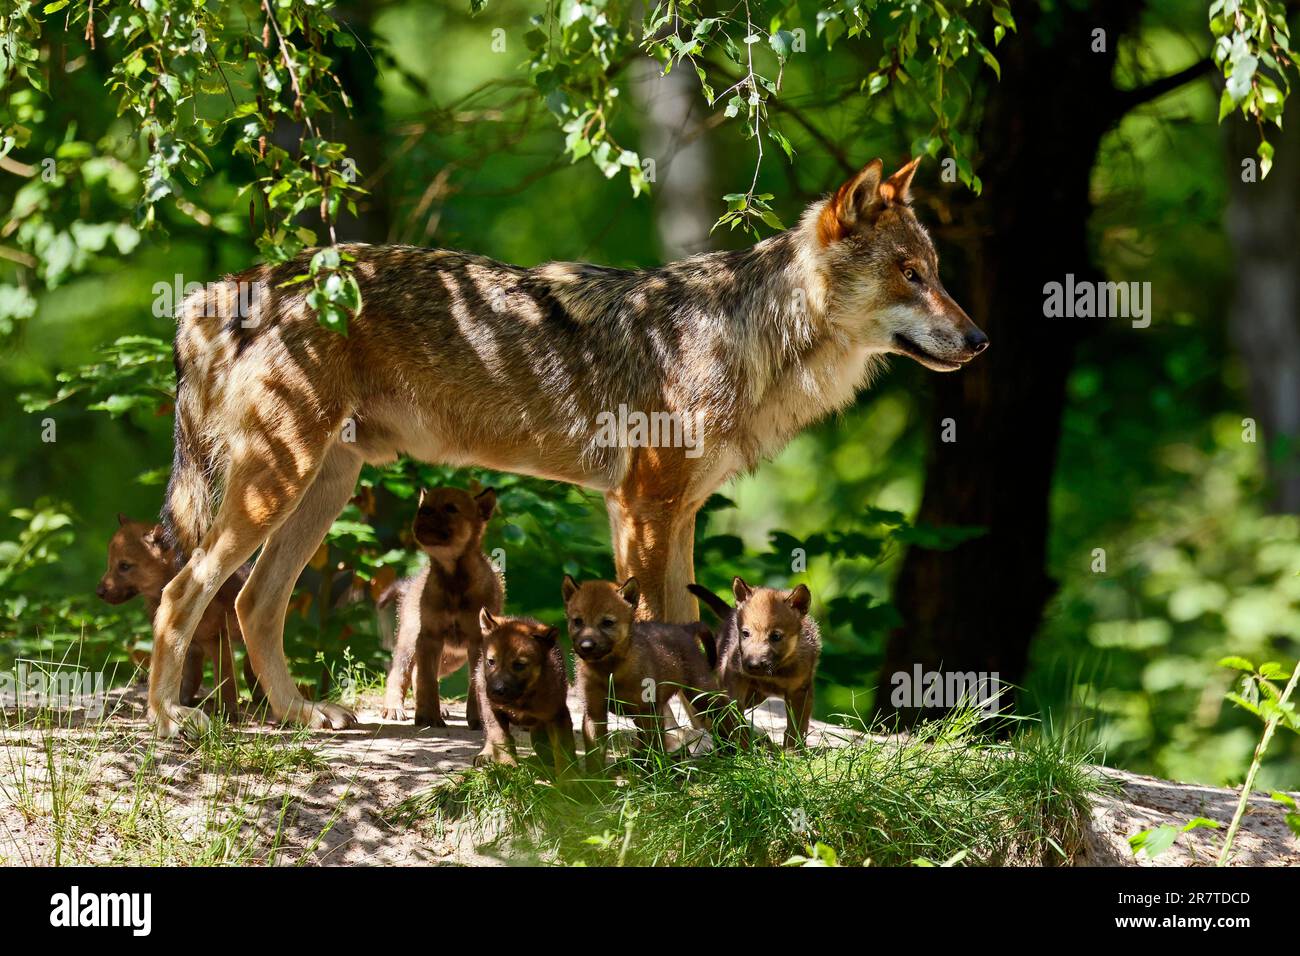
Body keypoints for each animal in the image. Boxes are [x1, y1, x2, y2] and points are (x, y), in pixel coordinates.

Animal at [149, 156, 986, 736]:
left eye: (938, 274)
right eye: (910, 275)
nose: (979, 339)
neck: (748, 340)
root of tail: (229, 288)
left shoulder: (678, 515)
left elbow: (689, 631)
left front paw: (716, 734)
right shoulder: (641, 507)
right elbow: (655, 633)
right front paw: (672, 732)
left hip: (321, 487)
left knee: (253, 602)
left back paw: (298, 715)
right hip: (278, 485)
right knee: (182, 591)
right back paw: (168, 721)